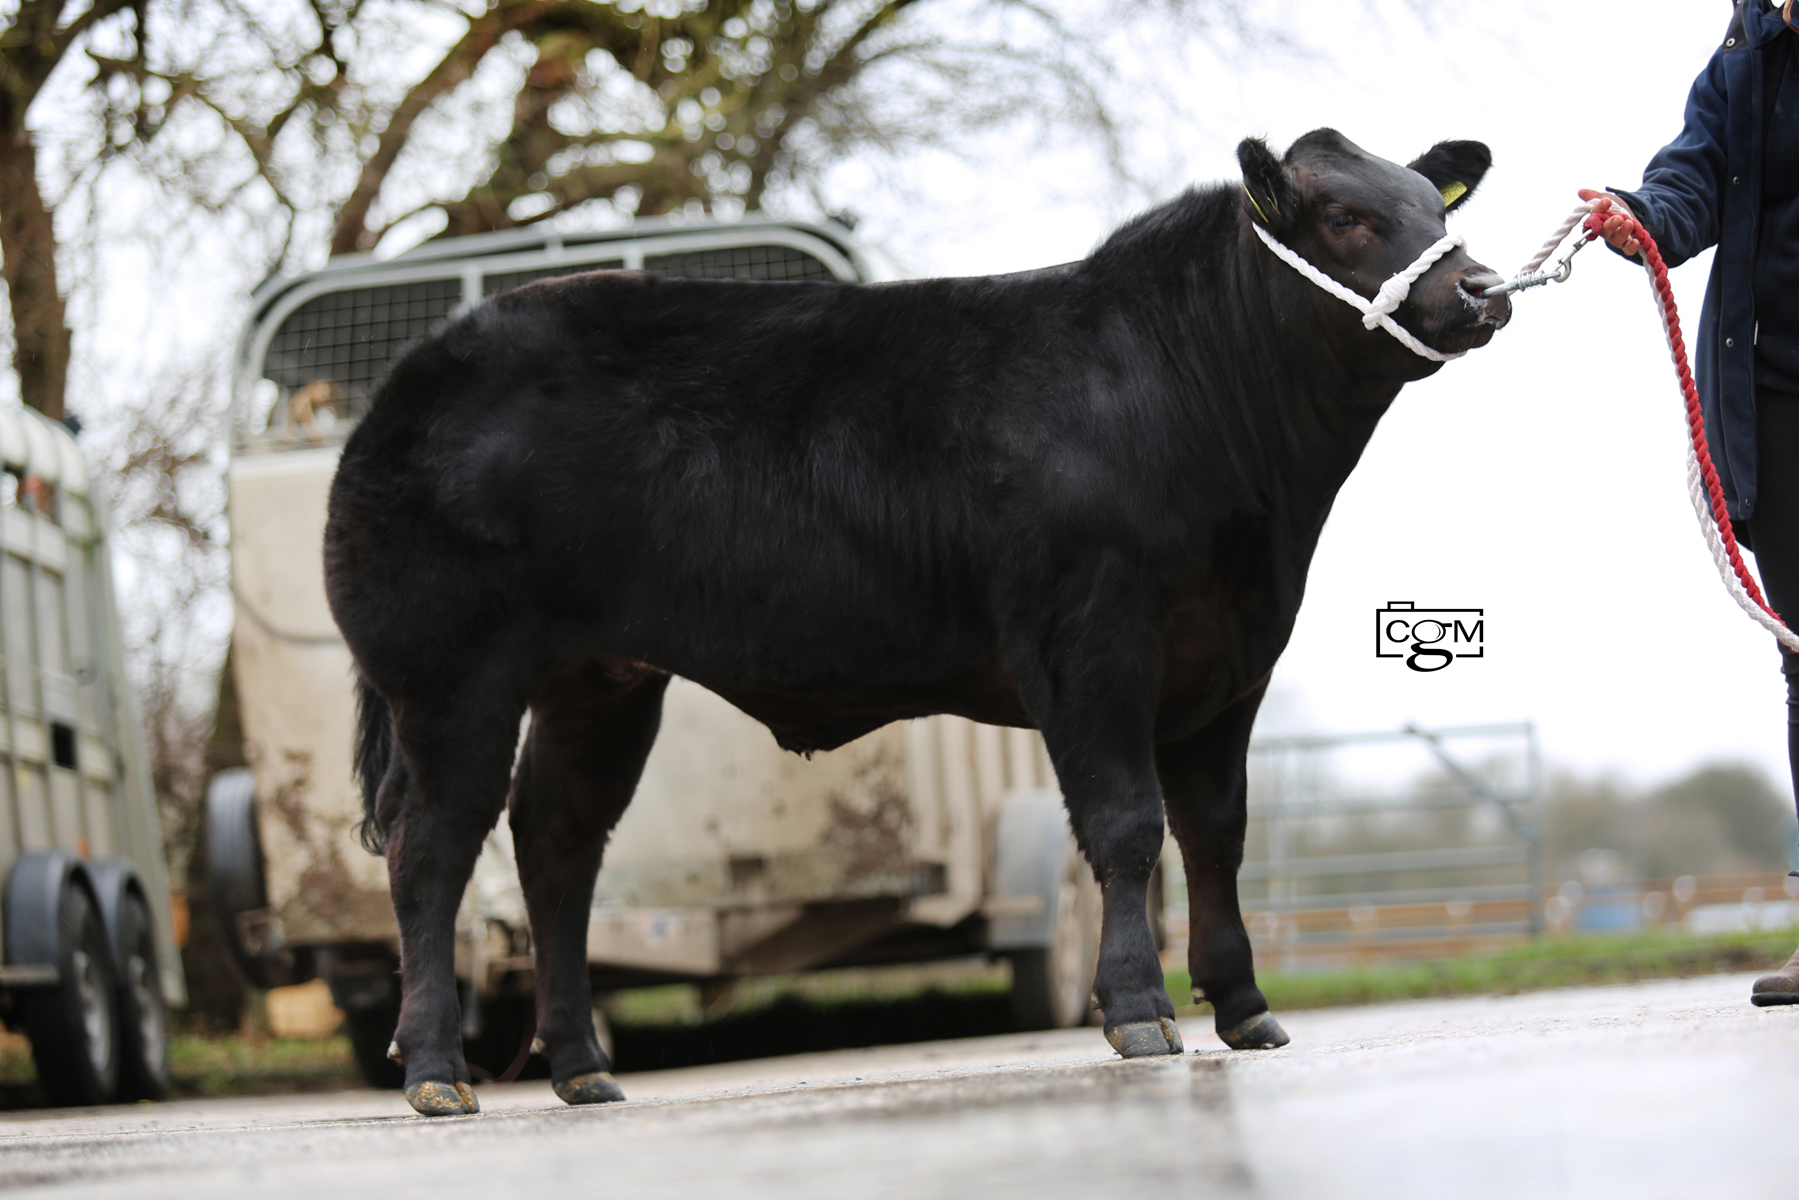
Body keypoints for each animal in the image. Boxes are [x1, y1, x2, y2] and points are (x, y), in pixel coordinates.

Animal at [324, 128, 1508, 1116]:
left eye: (1430, 205)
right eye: (1346, 216)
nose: (1482, 289)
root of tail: (420, 371)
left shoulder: (1229, 660)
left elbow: (1215, 832)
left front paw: (1245, 1008)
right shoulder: (1089, 641)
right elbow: (1127, 826)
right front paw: (1136, 1010)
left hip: (598, 680)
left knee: (556, 843)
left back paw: (579, 1068)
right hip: (447, 677)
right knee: (433, 850)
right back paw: (435, 1070)